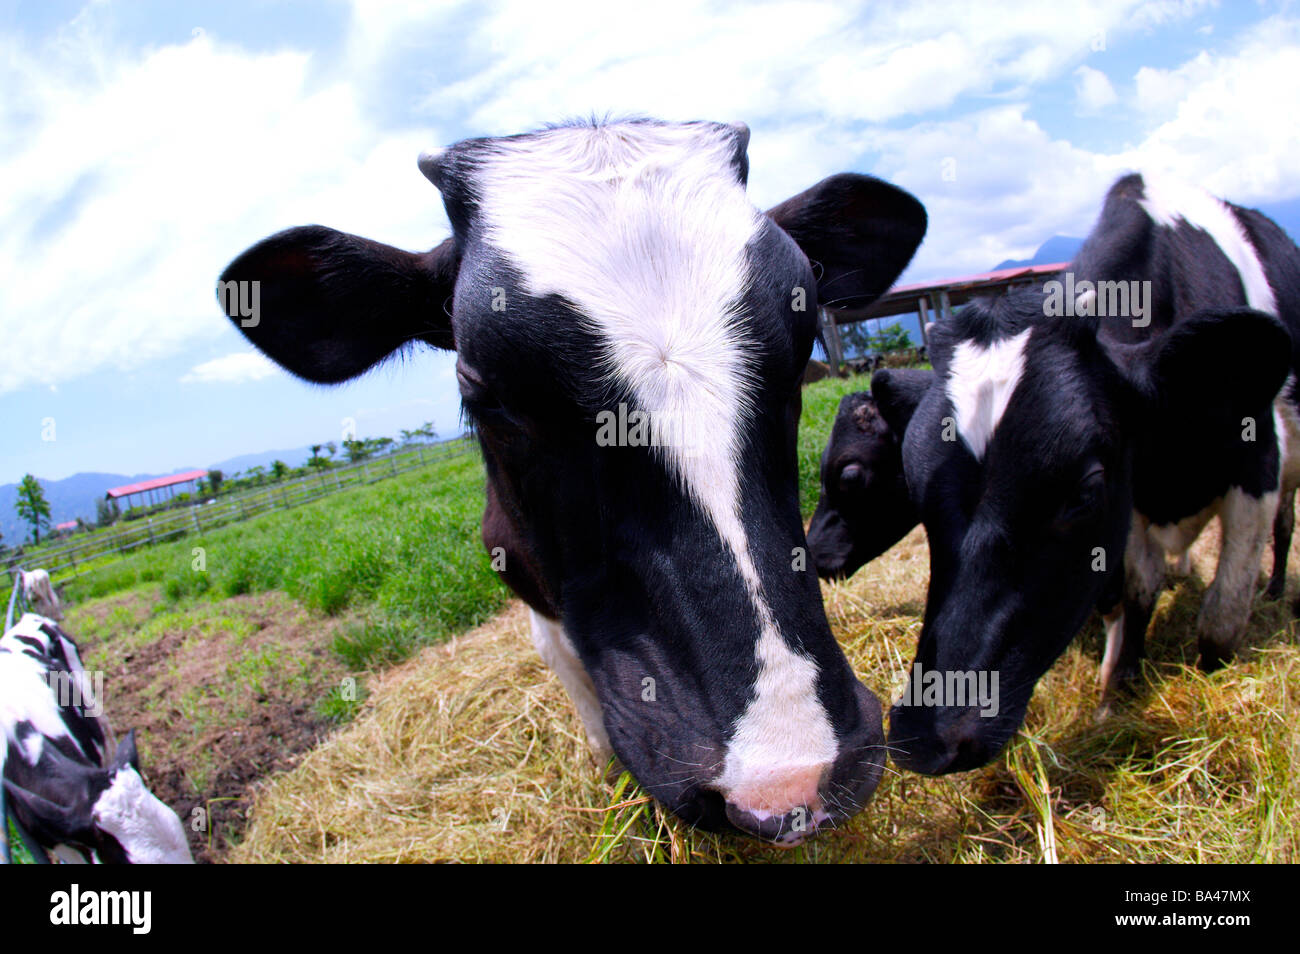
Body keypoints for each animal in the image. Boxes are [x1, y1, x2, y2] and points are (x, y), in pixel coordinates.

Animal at [877, 172, 1300, 775]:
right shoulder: (1134, 499)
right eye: (916, 491)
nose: (926, 736)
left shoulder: (1257, 463)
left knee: (1284, 530)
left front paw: (1213, 675)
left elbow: (1222, 614)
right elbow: (1138, 590)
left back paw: (1277, 587)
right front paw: (1117, 687)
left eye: (1084, 491)